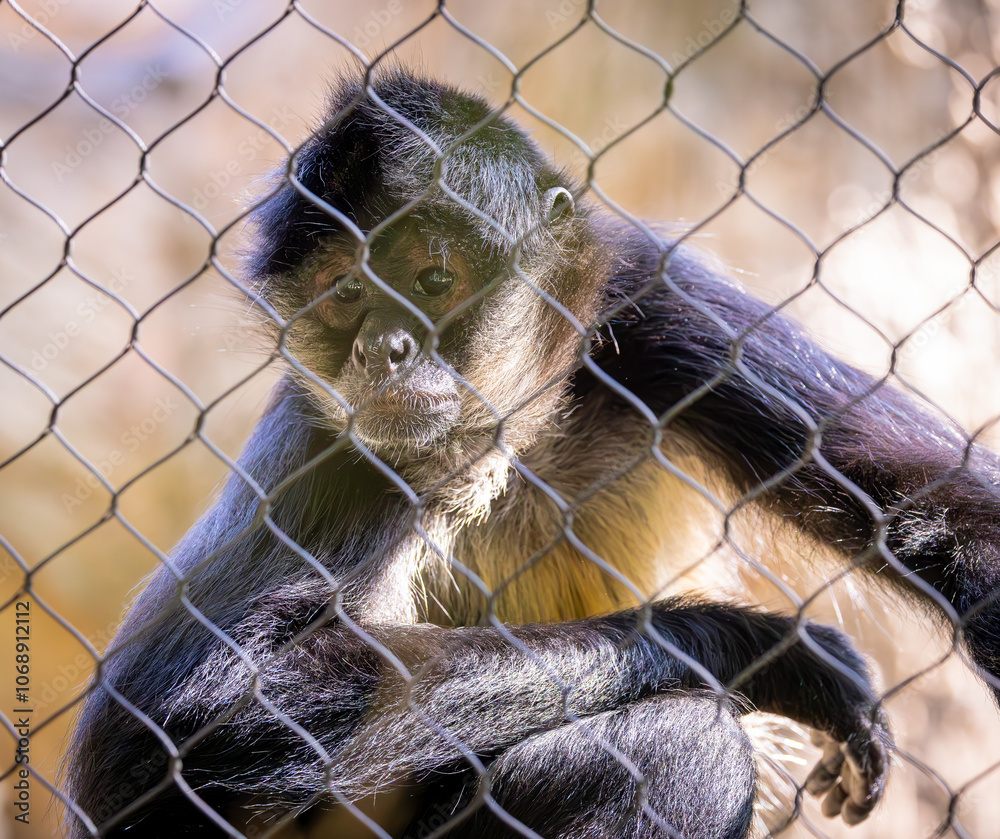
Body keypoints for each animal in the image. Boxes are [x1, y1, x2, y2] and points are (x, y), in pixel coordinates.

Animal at [63, 67, 1000, 838]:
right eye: (346, 293)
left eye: (435, 278)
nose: (381, 351)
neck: (508, 443)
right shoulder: (335, 443)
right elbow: (166, 729)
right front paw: (761, 648)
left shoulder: (650, 297)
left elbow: (953, 517)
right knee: (680, 745)